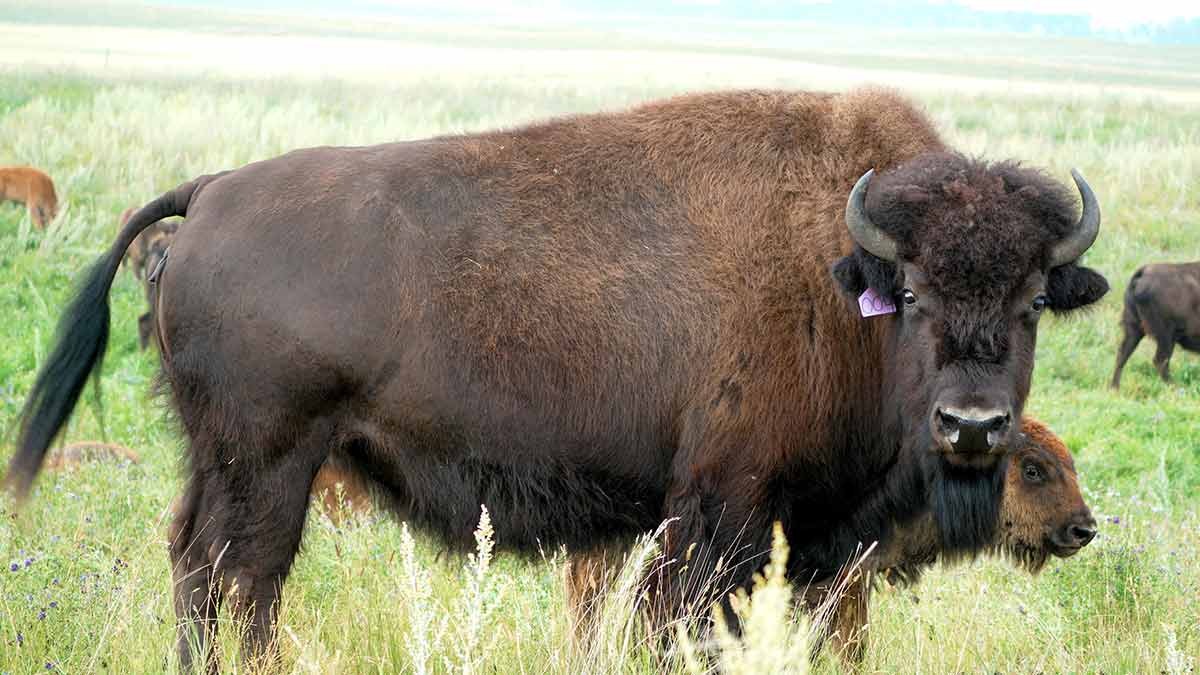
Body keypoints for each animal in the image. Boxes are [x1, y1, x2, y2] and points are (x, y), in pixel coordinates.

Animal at [7, 87, 1107, 670]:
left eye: (1031, 304)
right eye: (910, 293)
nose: (973, 425)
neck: (840, 270)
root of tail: (214, 191)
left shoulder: (806, 537)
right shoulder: (719, 509)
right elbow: (677, 624)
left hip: (218, 457)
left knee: (196, 563)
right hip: (273, 461)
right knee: (243, 577)